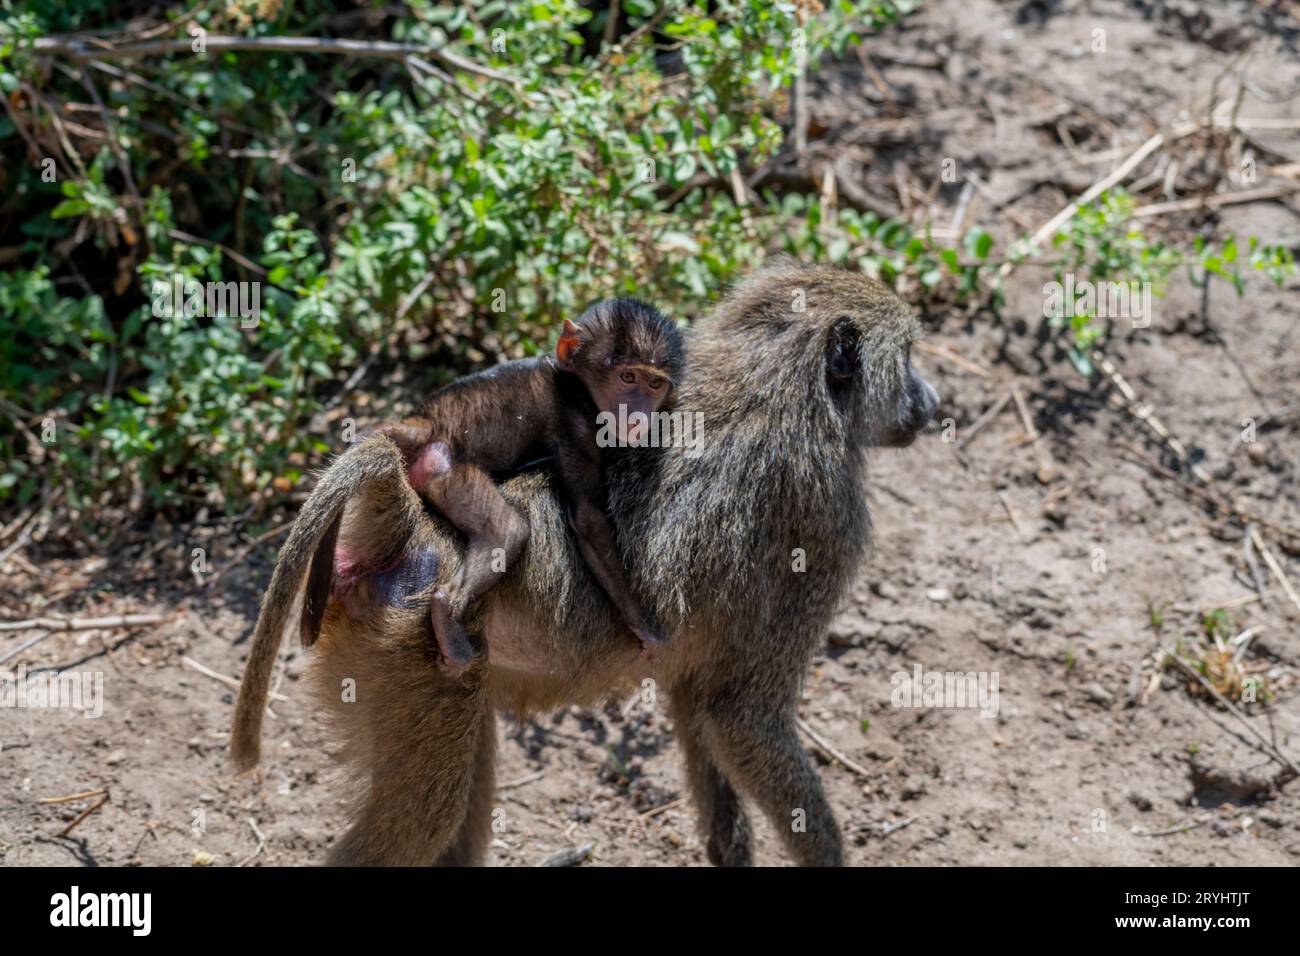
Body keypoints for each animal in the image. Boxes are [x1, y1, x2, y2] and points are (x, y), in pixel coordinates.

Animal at [371, 298, 684, 671]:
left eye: (655, 384)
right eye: (627, 377)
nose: (638, 415)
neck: (576, 384)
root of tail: (421, 423)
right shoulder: (576, 426)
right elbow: (589, 520)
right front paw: (644, 624)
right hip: (441, 466)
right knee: (508, 530)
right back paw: (447, 610)